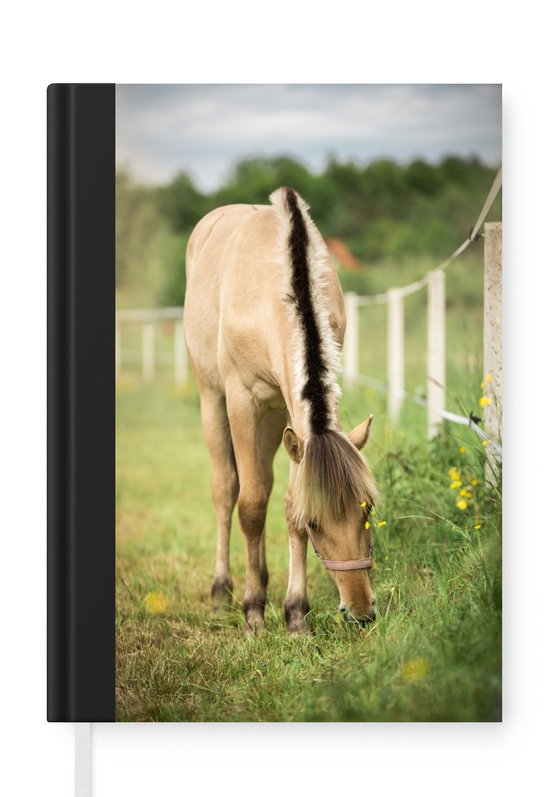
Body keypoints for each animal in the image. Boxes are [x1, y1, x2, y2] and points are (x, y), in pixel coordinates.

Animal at [183, 187, 378, 633]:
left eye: (366, 509)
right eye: (317, 523)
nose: (361, 612)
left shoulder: (292, 415)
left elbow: (288, 505)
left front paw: (296, 613)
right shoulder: (242, 401)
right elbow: (251, 506)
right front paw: (254, 611)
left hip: (273, 419)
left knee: (264, 481)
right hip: (212, 400)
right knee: (227, 489)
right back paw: (223, 590)